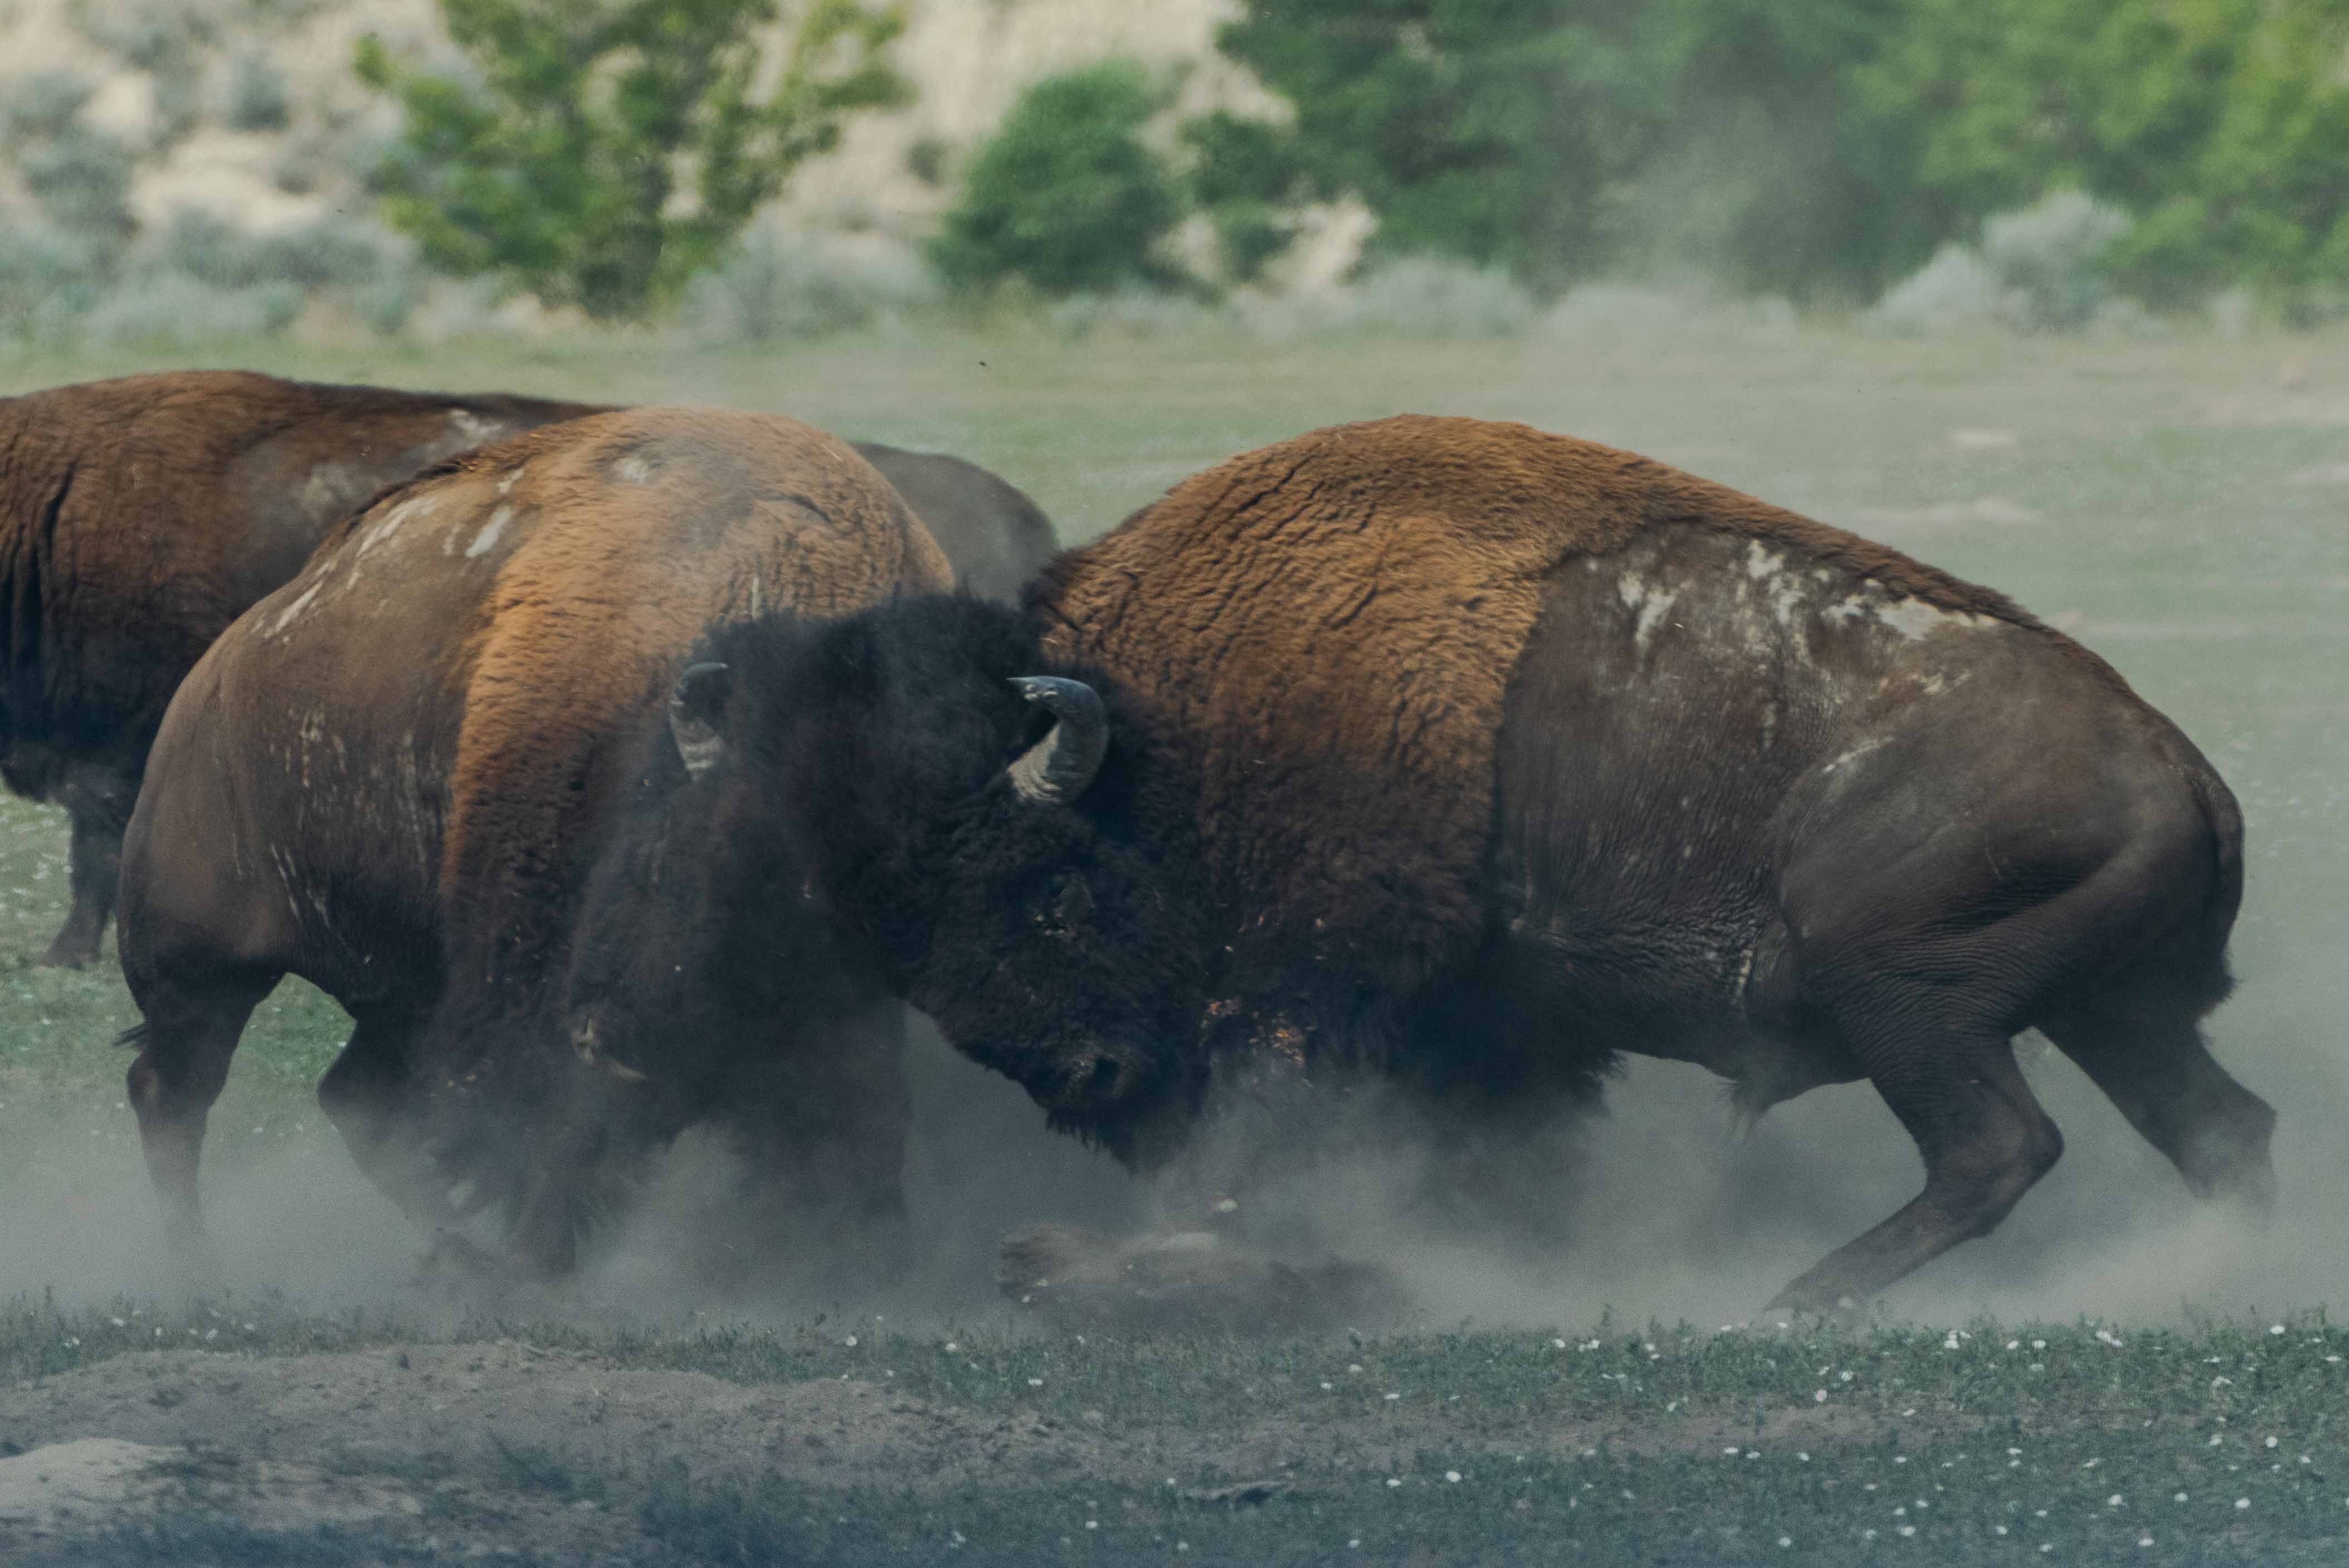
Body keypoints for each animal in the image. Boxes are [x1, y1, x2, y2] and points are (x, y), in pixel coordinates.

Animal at [117, 408, 951, 1277]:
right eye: (663, 864)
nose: (618, 1040)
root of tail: (213, 676)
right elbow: (546, 1125)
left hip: (398, 989)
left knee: (353, 1100)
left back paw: (457, 1253)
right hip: (199, 969)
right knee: (173, 1092)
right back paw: (200, 1266)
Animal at [638, 414, 2273, 1311]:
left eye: (1039, 882)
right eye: (886, 933)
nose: (1083, 1076)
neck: (1166, 730)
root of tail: (2182, 768)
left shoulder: (1307, 1000)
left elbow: (1274, 1133)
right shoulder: (1501, 1028)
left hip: (1911, 1003)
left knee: (2000, 1146)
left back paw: (1790, 1298)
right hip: (2108, 1013)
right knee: (2217, 1129)